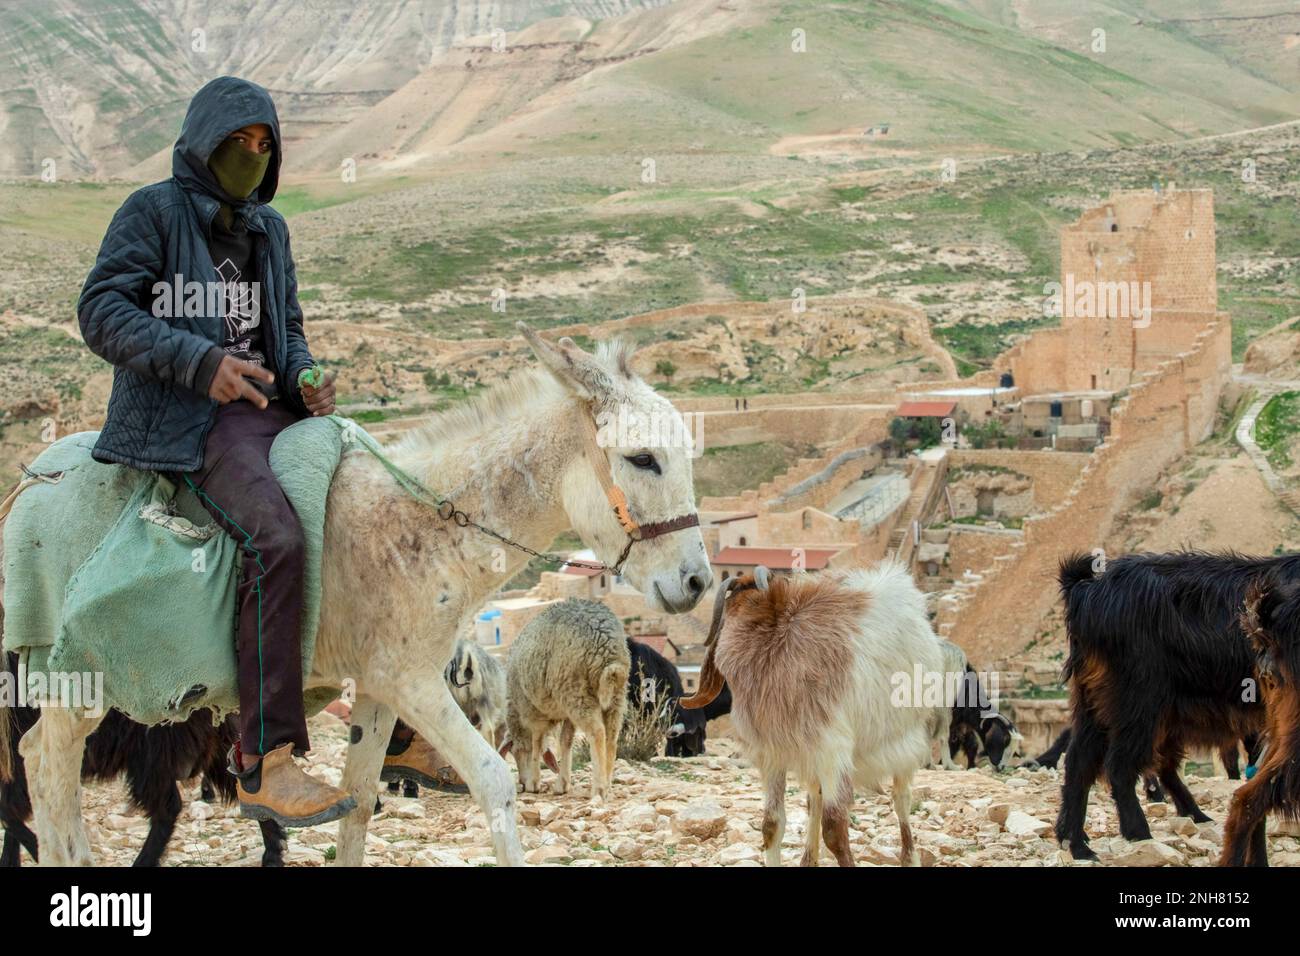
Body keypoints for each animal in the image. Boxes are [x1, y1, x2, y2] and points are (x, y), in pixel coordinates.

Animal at [2, 654, 284, 867]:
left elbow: (10, 813)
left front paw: (33, 852)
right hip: (204, 743)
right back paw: (273, 851)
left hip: (150, 754)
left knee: (168, 807)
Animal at [506, 599, 630, 800]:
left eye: (515, 752)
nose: (522, 784)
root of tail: (608, 647)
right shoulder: (566, 713)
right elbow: (566, 741)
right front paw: (562, 784)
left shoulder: (531, 710)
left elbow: (537, 743)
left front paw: (534, 783)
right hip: (613, 696)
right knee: (611, 737)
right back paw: (607, 784)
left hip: (576, 691)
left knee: (597, 732)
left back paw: (598, 788)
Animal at [683, 562, 943, 867]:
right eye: (729, 608)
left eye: (754, 604)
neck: (776, 648)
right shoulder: (774, 756)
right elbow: (771, 825)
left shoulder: (833, 751)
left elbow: (834, 830)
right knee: (814, 799)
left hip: (905, 742)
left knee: (901, 799)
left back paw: (909, 857)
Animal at [1054, 551, 1284, 860]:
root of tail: (1086, 590)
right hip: (1137, 698)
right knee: (1121, 764)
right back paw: (1139, 833)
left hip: (1095, 700)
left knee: (1080, 761)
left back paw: (1076, 842)